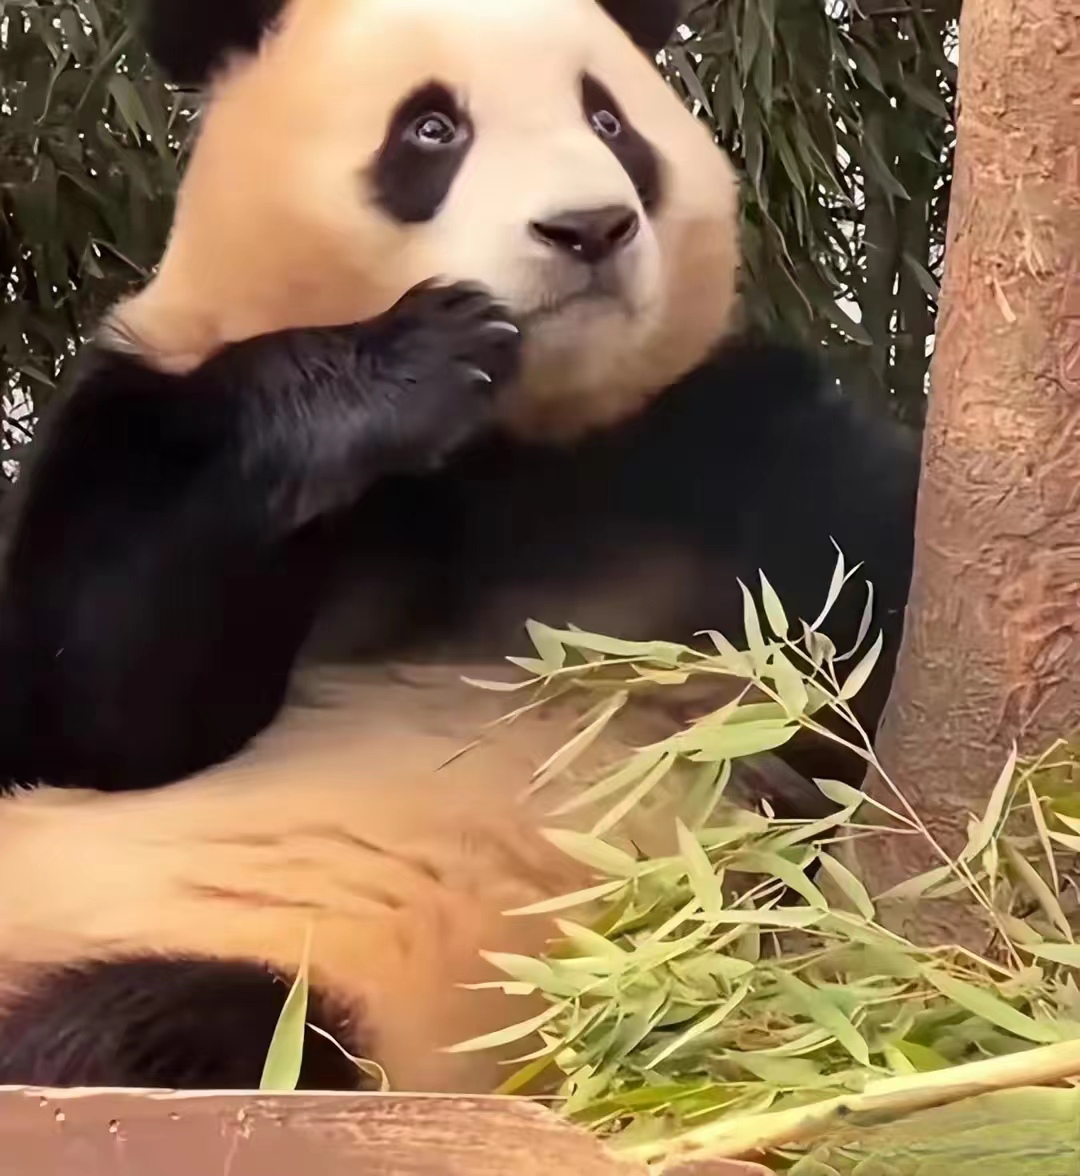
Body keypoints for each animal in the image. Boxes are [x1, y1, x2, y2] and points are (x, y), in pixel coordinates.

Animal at [0, 0, 921, 1093]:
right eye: (431, 130)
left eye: (609, 121)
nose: (589, 228)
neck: (513, 437)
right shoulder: (143, 404)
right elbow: (91, 706)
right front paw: (402, 364)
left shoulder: (739, 451)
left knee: (198, 1019)